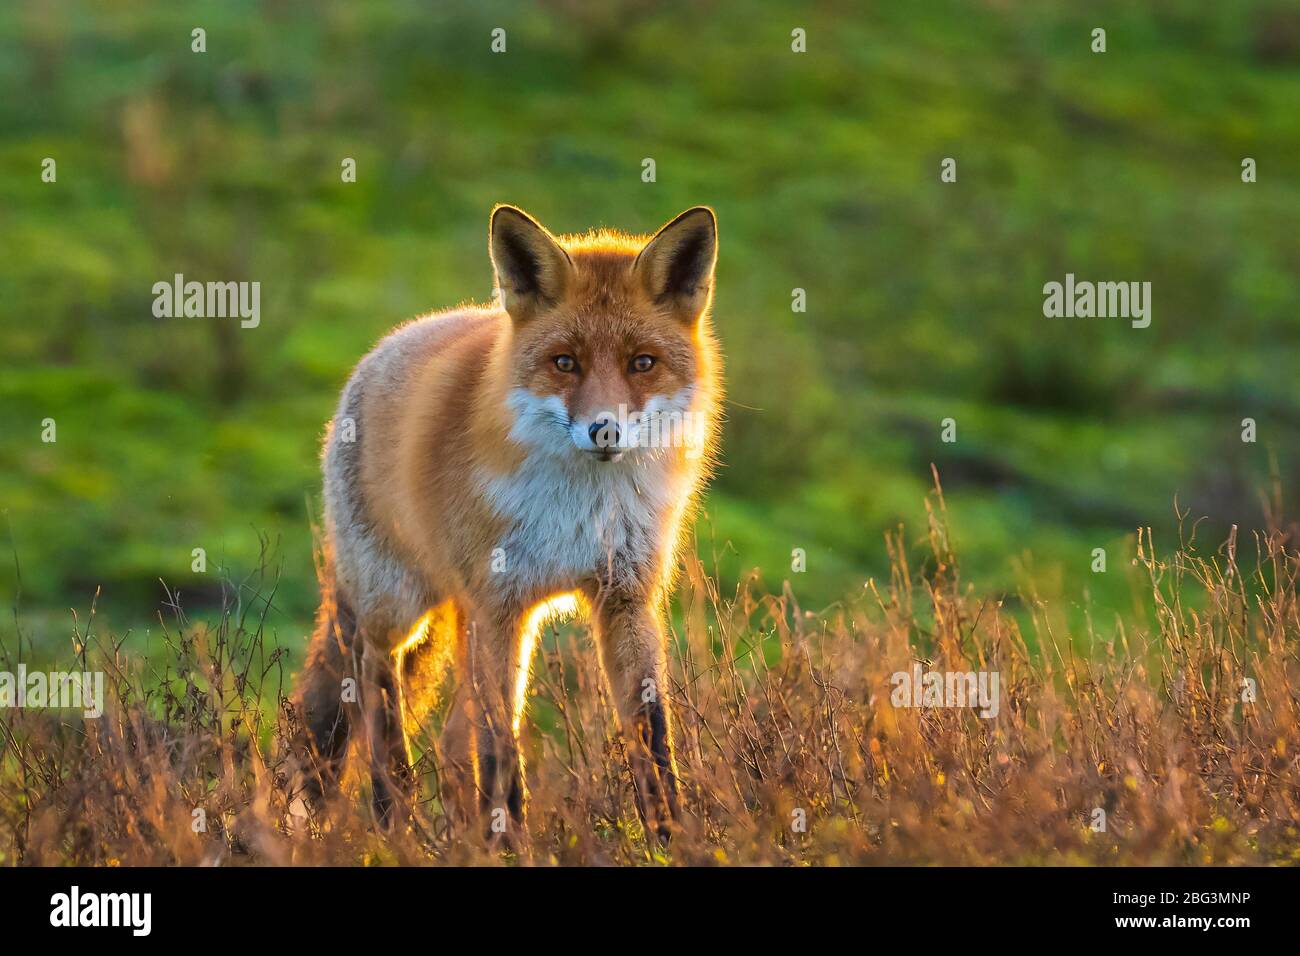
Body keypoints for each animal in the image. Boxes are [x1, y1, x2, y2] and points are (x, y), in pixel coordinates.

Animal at [292, 204, 722, 842]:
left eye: (642, 364)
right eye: (564, 363)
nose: (605, 431)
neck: (578, 511)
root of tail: (386, 344)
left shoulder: (625, 598)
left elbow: (652, 733)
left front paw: (670, 837)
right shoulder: (500, 606)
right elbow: (500, 744)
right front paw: (512, 841)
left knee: (450, 735)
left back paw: (454, 826)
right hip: (398, 601)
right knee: (375, 681)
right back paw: (394, 814)